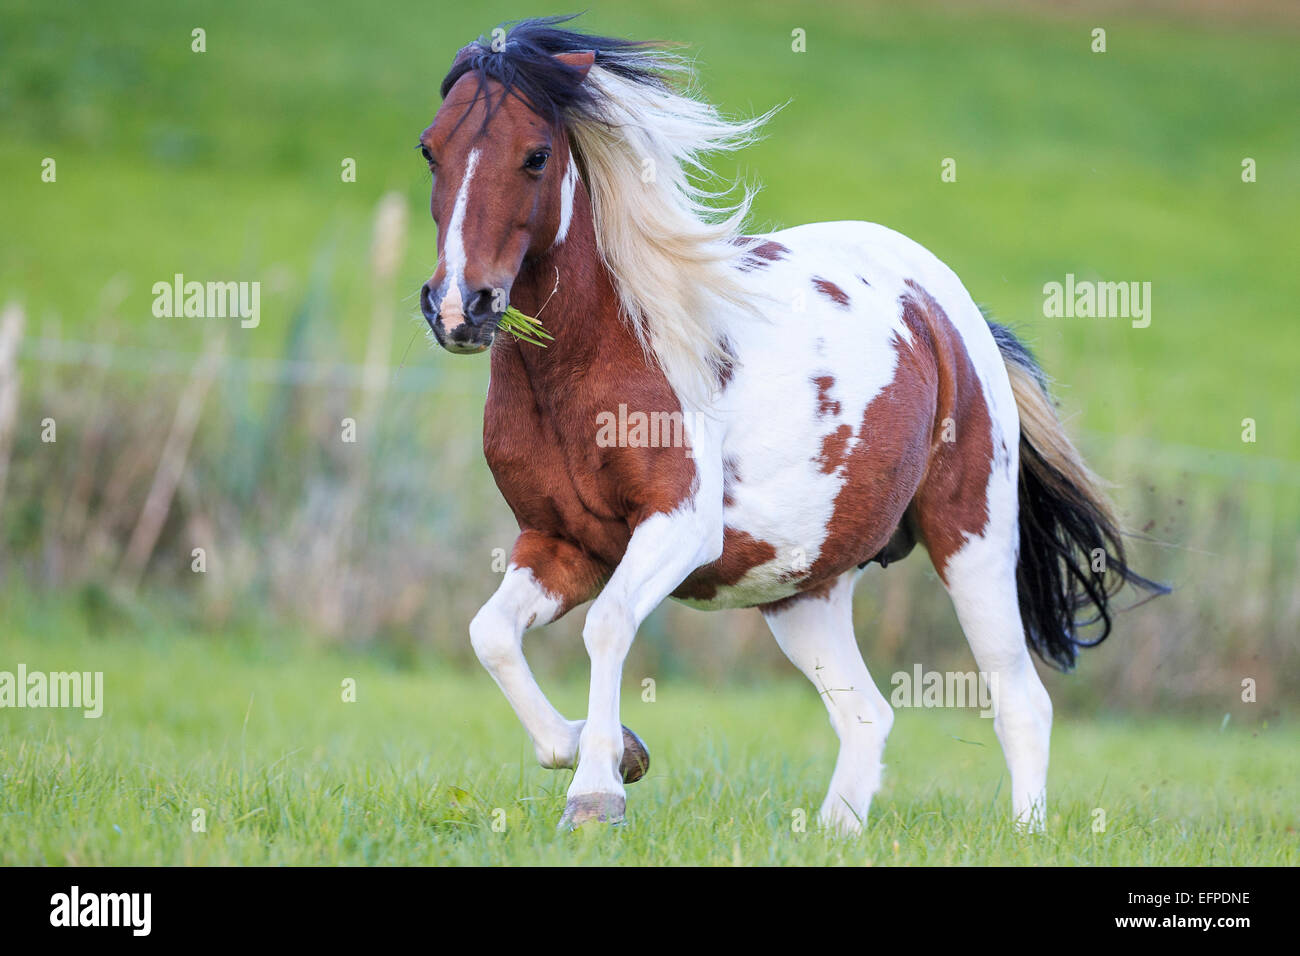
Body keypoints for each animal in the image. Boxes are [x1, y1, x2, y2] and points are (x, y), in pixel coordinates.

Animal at [415, 16, 1165, 832]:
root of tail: (947, 309)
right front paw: (615, 752)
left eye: (536, 155)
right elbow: (491, 637)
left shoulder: (678, 526)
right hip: (803, 588)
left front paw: (597, 792)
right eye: (430, 149)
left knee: (1021, 702)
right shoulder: (560, 543)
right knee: (868, 716)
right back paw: (836, 831)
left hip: (974, 541)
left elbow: (606, 625)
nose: (459, 309)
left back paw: (1023, 831)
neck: (599, 359)